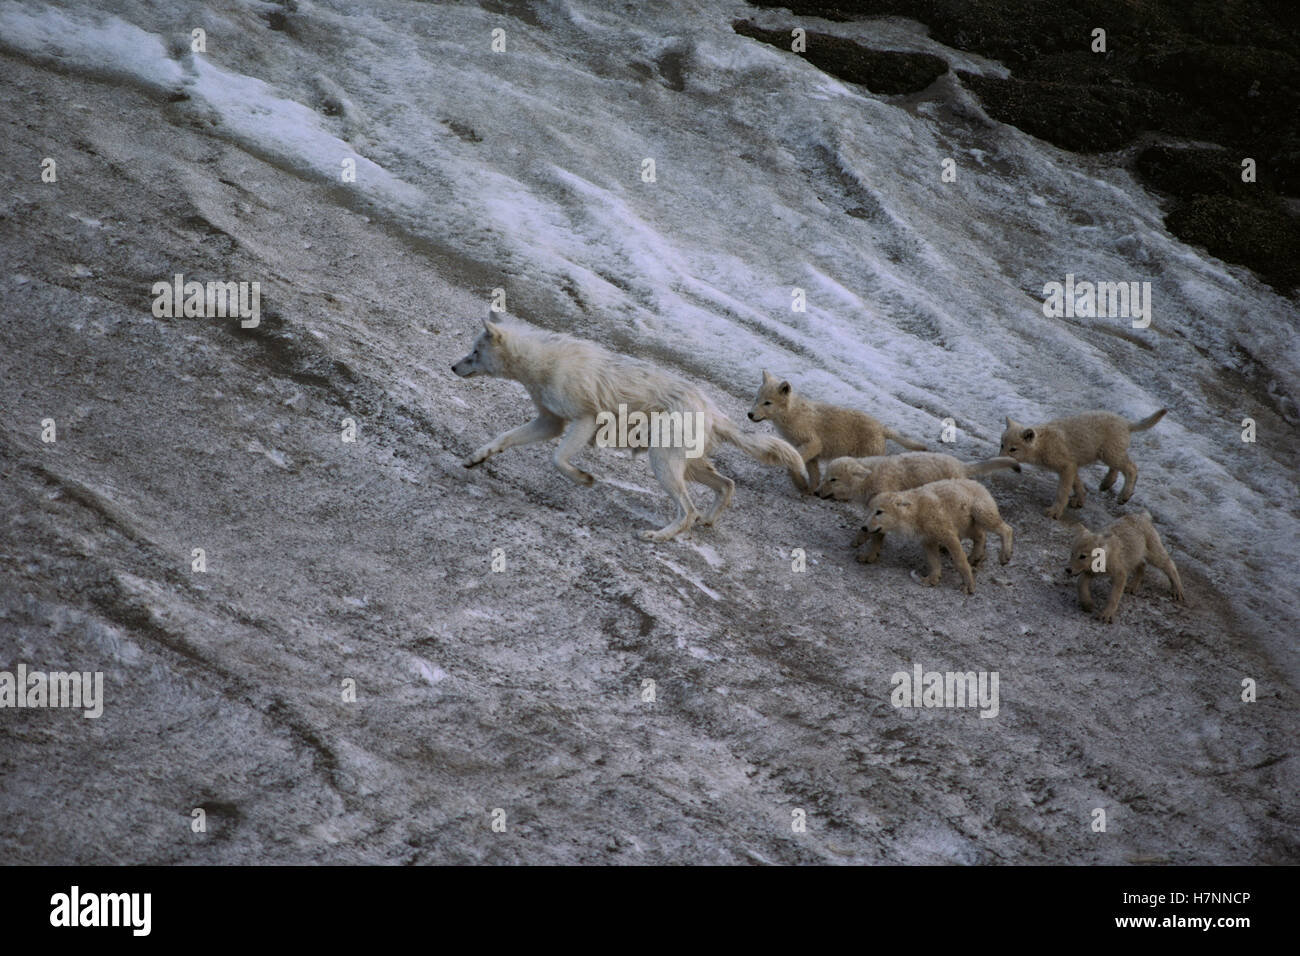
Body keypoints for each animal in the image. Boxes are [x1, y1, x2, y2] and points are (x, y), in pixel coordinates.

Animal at [452, 319, 808, 542]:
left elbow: (558, 459)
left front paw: (584, 479)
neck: (542, 361)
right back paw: (706, 521)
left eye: (474, 352)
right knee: (726, 486)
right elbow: (504, 438)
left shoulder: (584, 420)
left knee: (688, 510)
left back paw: (659, 536)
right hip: (683, 465)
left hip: (663, 463)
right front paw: (476, 458)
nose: (452, 367)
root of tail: (711, 409)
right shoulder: (550, 423)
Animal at [747, 371, 927, 493]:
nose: (750, 414)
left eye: (767, 403)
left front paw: (801, 484)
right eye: (757, 399)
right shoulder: (812, 451)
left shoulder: (813, 443)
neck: (792, 414)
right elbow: (813, 473)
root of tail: (881, 427)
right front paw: (808, 489)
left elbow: (792, 465)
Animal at [817, 453, 1020, 563]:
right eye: (824, 477)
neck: (870, 476)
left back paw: (1003, 555)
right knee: (980, 533)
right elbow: (868, 525)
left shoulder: (887, 509)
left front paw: (868, 554)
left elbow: (877, 534)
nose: (816, 492)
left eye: (833, 479)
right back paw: (974, 557)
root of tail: (962, 465)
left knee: (1004, 529)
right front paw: (860, 539)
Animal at [864, 478, 1013, 594]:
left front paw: (968, 585)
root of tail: (980, 484)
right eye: (870, 510)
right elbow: (933, 560)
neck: (917, 511)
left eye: (879, 512)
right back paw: (975, 558)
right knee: (980, 535)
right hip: (965, 524)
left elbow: (959, 561)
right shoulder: (927, 539)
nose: (864, 527)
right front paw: (931, 579)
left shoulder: (947, 533)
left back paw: (1004, 556)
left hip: (980, 512)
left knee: (1005, 528)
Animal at [998, 409, 1166, 519]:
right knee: (1118, 467)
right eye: (1002, 445)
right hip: (1110, 453)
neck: (1043, 444)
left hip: (1110, 454)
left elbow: (1063, 491)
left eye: (1013, 449)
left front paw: (1055, 512)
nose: (999, 459)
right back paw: (1106, 483)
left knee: (1131, 468)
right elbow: (1077, 484)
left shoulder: (1066, 466)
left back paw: (1124, 496)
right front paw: (1079, 500)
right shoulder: (1071, 466)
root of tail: (1126, 423)